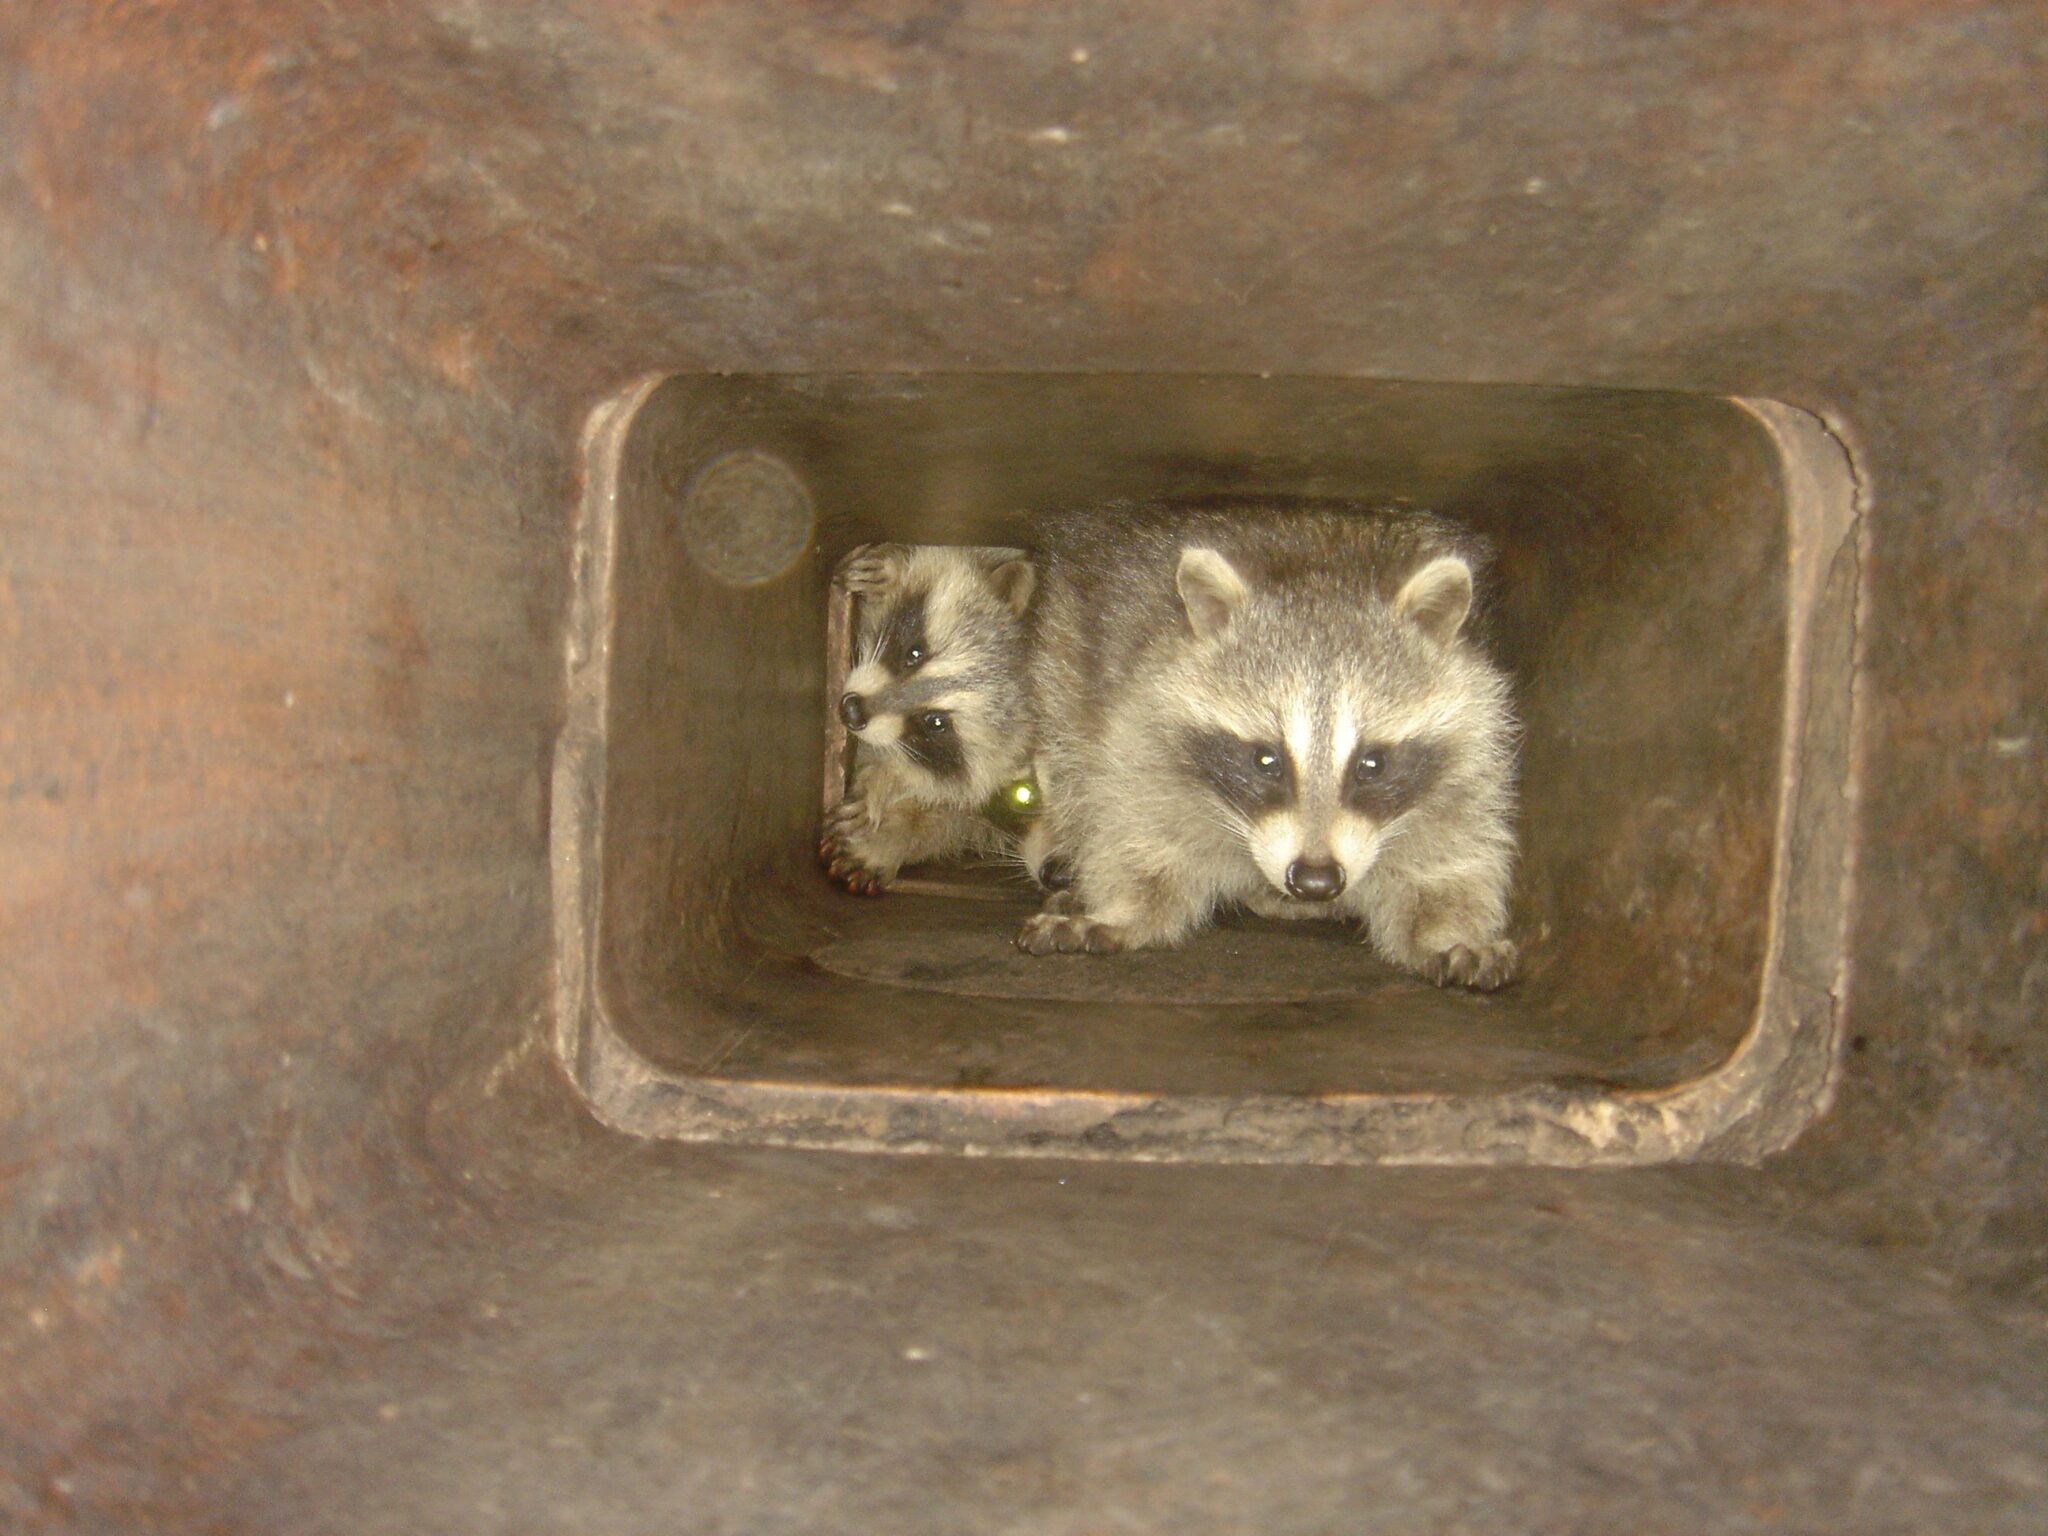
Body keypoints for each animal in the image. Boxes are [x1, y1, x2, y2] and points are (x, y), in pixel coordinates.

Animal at [819, 541, 1037, 893]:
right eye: (914, 653)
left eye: (936, 723)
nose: (851, 711)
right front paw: (894, 566)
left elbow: (959, 820)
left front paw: (895, 831)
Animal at [1016, 504, 1519, 990]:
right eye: (1266, 760)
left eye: (1372, 763)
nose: (1315, 882)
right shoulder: (1140, 720)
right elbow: (1138, 830)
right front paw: (1120, 911)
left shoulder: (1474, 746)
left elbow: (1450, 856)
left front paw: (1448, 932)